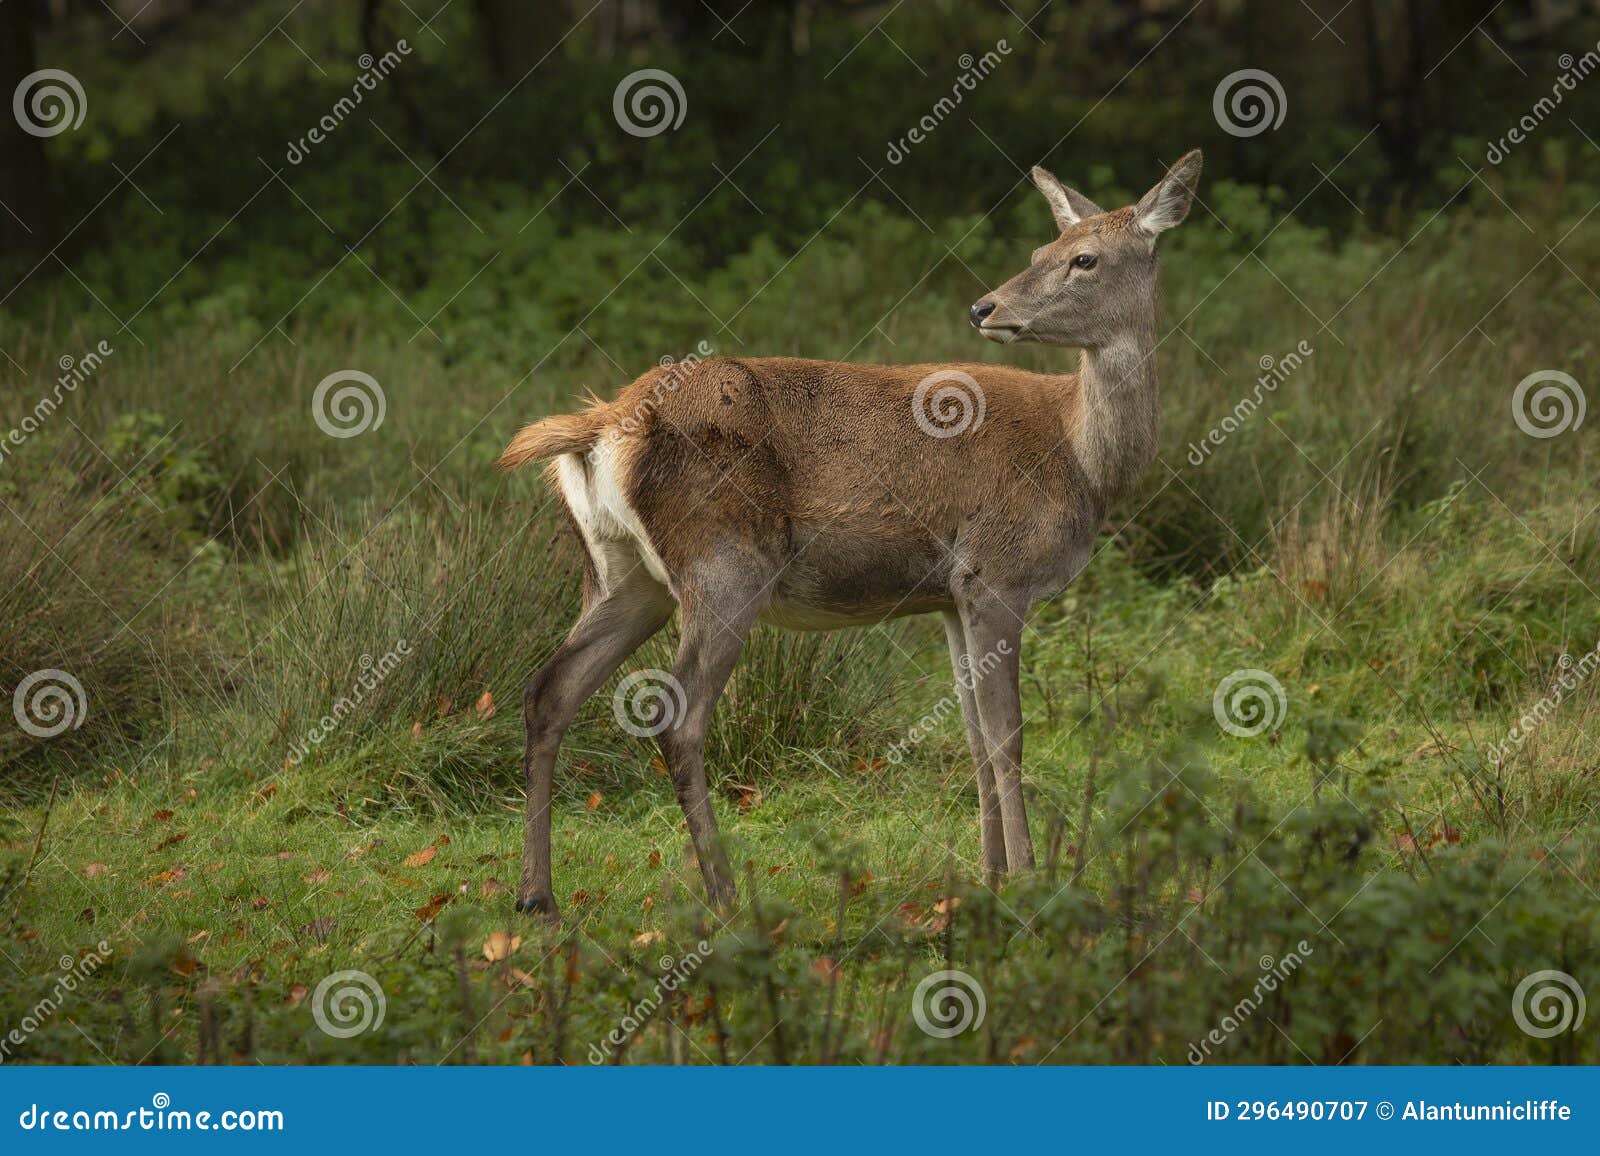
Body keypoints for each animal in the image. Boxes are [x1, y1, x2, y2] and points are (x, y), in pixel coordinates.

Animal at [499, 149, 1203, 921]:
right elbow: (1007, 737)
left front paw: (985, 879)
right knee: (675, 717)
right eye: (1042, 252)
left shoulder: (950, 595)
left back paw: (538, 897)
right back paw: (725, 895)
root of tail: (602, 426)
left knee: (548, 690)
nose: (985, 308)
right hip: (724, 563)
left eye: (1082, 258)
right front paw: (1026, 881)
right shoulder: (997, 572)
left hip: (622, 573)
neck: (1081, 457)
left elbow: (972, 737)